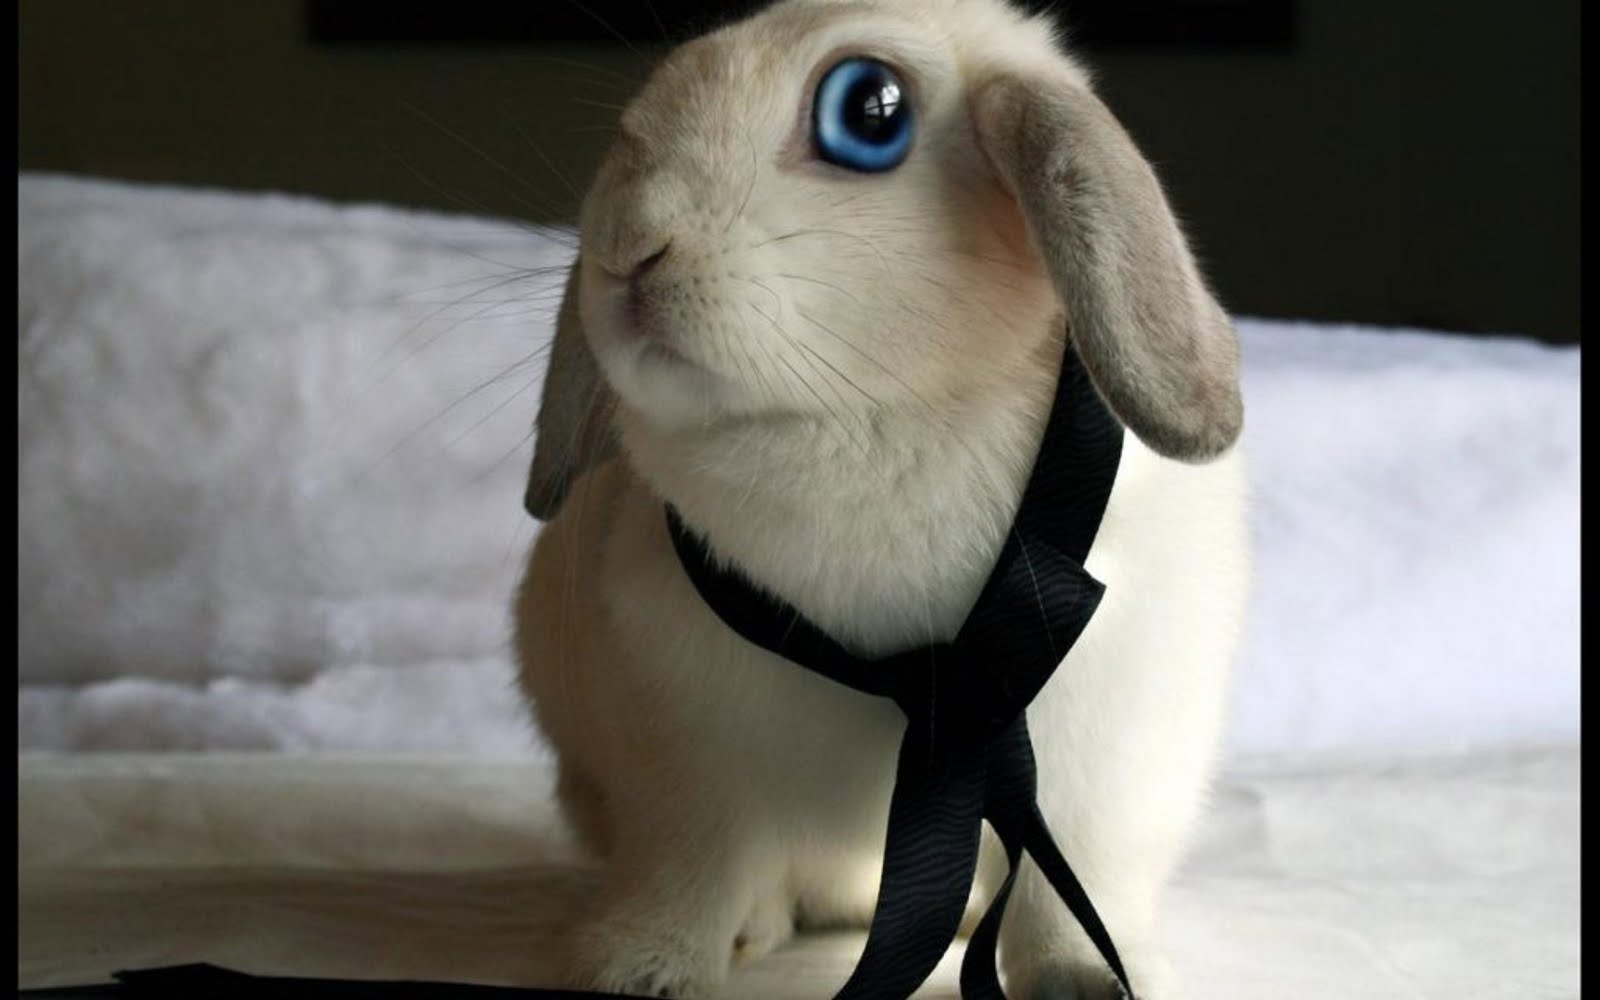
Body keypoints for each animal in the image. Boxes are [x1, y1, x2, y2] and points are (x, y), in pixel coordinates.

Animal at [513, 1, 1251, 997]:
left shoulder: (1105, 771)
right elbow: (686, 867)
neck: (858, 419)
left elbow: (1072, 888)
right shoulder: (675, 757)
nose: (625, 246)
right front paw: (643, 970)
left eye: (868, 110)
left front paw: (1088, 980)